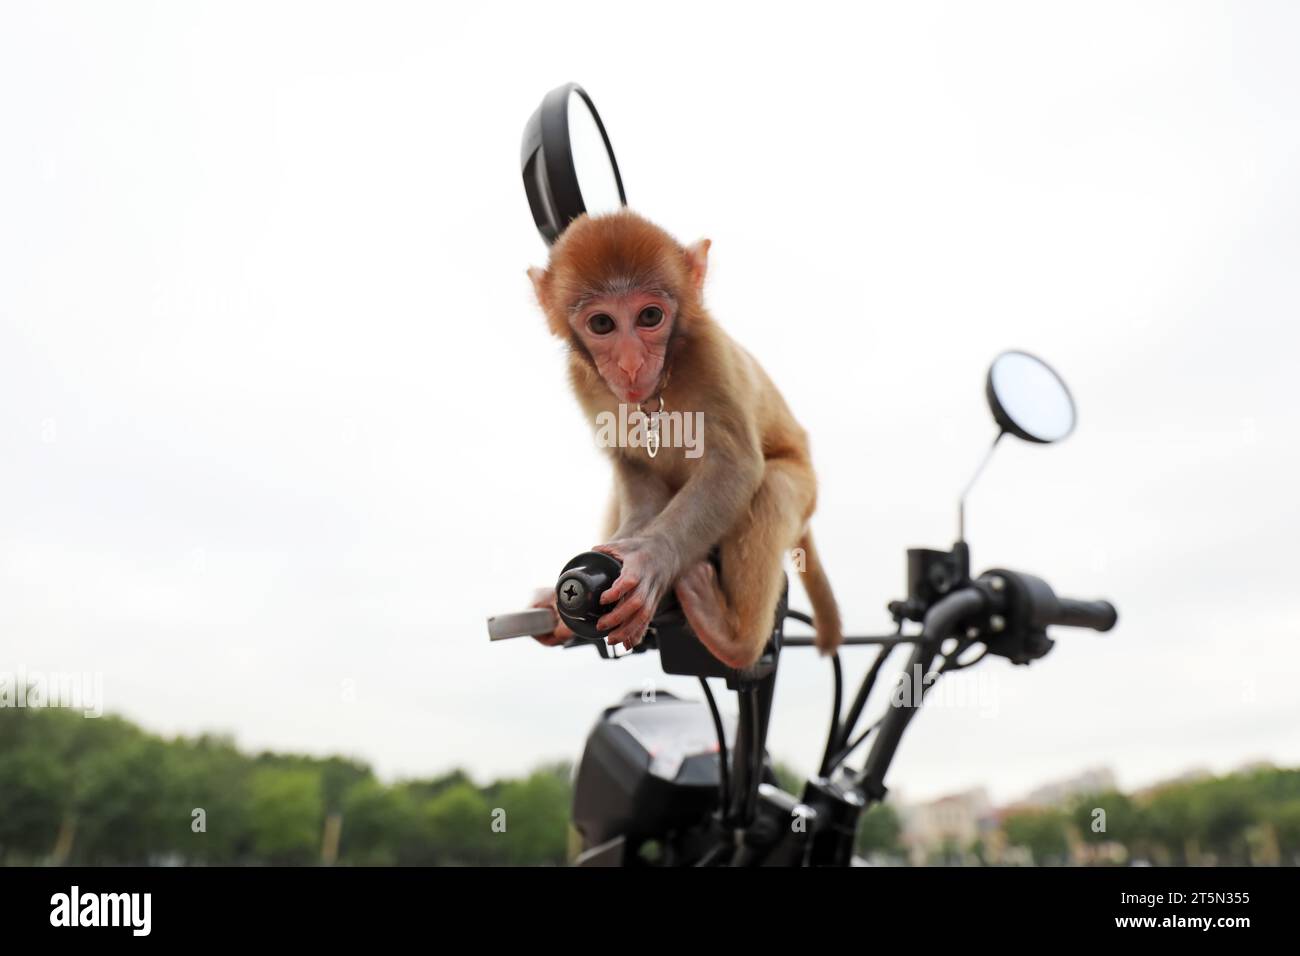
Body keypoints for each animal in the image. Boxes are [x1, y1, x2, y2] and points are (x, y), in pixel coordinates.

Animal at [524, 209, 841, 669]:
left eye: (649, 317)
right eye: (602, 323)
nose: (631, 364)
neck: (658, 389)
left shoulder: (709, 356)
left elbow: (736, 465)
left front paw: (652, 557)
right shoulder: (581, 381)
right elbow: (634, 471)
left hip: (805, 491)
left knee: (776, 485)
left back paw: (731, 638)